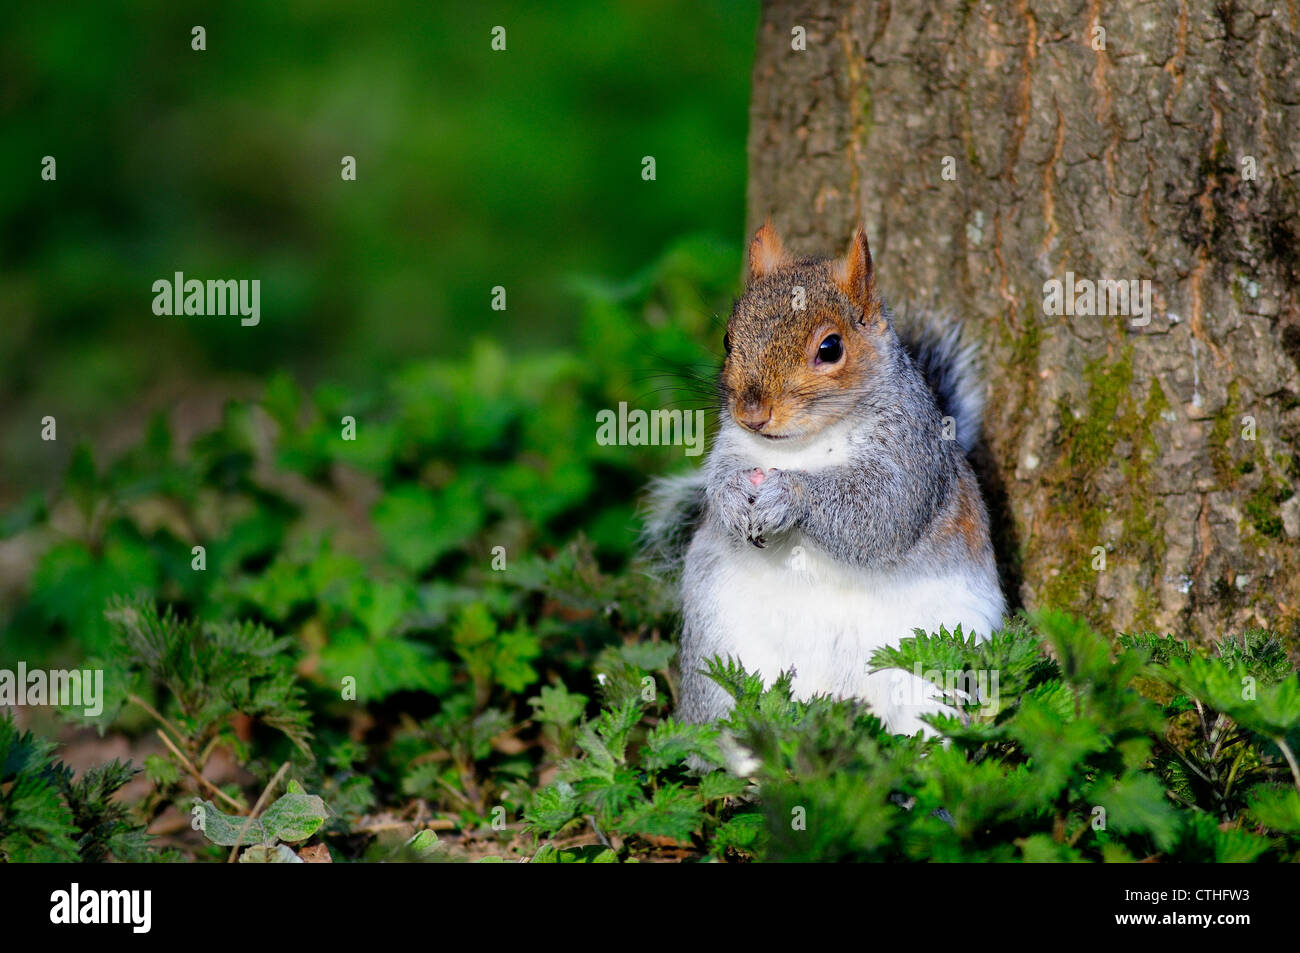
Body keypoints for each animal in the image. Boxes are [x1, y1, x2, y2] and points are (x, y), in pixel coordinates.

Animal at [644, 221, 1006, 737]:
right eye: (729, 340)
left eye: (830, 348)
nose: (751, 413)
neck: (804, 445)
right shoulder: (731, 447)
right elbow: (717, 479)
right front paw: (731, 498)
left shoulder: (911, 459)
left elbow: (878, 514)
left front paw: (789, 496)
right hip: (721, 659)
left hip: (936, 662)